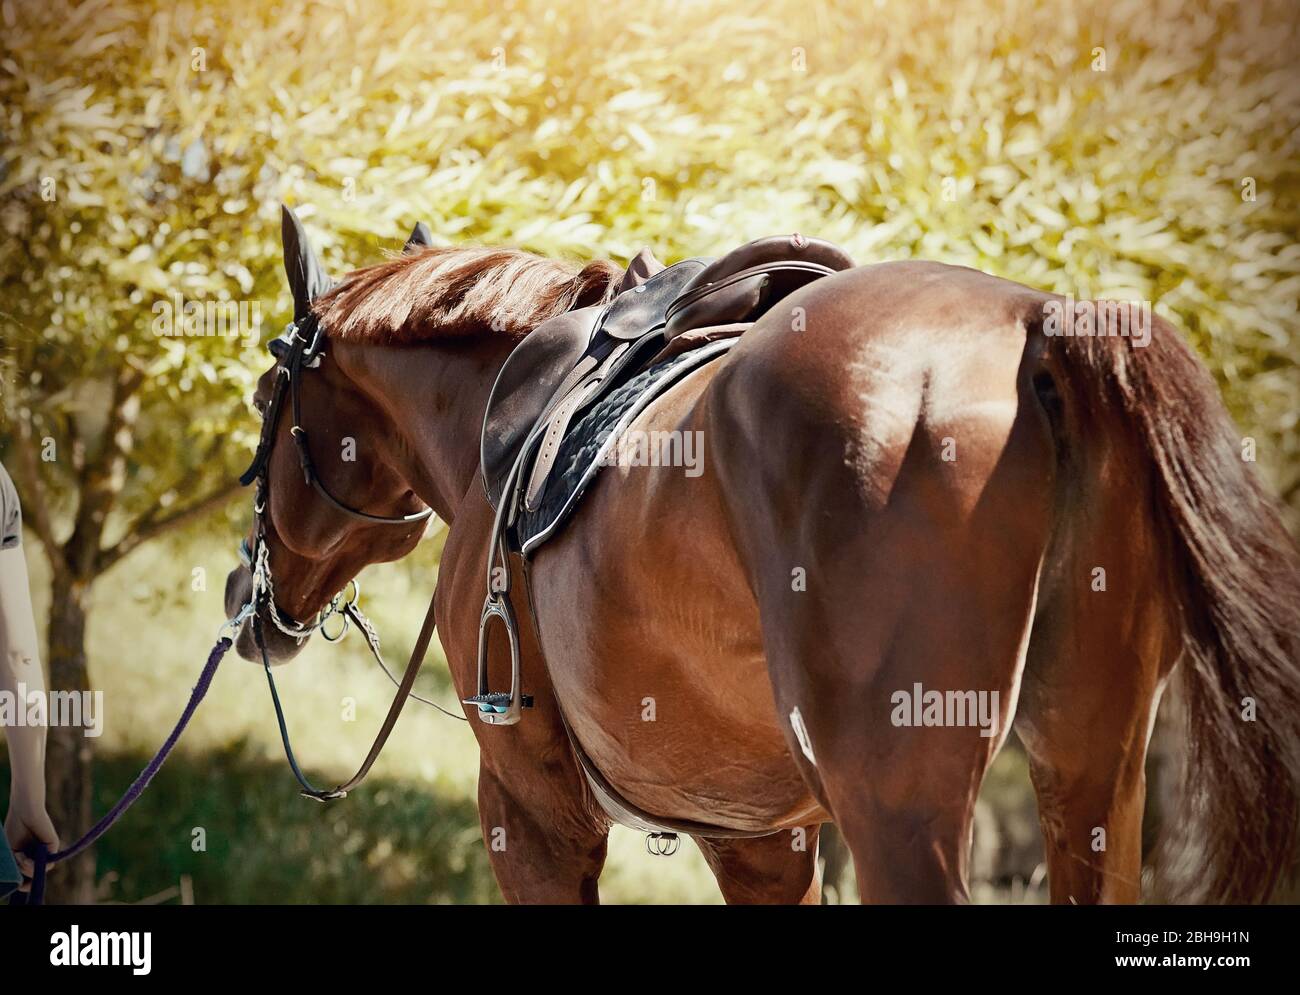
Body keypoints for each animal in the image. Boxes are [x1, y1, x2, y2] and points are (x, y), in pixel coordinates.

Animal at [224, 210, 1300, 904]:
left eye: (265, 401)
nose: (247, 592)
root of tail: (1037, 324)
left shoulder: (530, 814)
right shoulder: (764, 841)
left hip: (900, 810)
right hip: (1091, 770)